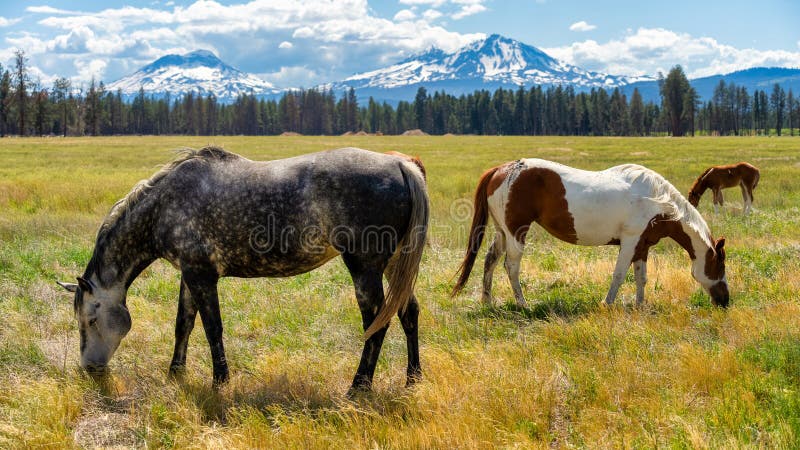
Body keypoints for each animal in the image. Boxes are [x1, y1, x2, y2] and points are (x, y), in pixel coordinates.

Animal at [58, 146, 429, 392]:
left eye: (91, 319)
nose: (89, 368)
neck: (163, 207)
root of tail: (400, 163)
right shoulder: (189, 275)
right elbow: (183, 324)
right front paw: (175, 373)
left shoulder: (202, 276)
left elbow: (212, 329)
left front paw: (220, 381)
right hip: (394, 265)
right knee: (408, 312)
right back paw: (413, 378)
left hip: (365, 268)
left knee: (376, 324)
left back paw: (359, 386)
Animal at [452, 159, 729, 308]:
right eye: (720, 266)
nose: (725, 301)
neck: (657, 201)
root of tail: (501, 169)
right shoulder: (629, 242)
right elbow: (619, 275)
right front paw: (607, 303)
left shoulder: (642, 246)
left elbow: (641, 278)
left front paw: (640, 305)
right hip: (516, 233)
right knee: (511, 266)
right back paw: (522, 304)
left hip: (502, 232)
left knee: (490, 260)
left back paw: (487, 301)